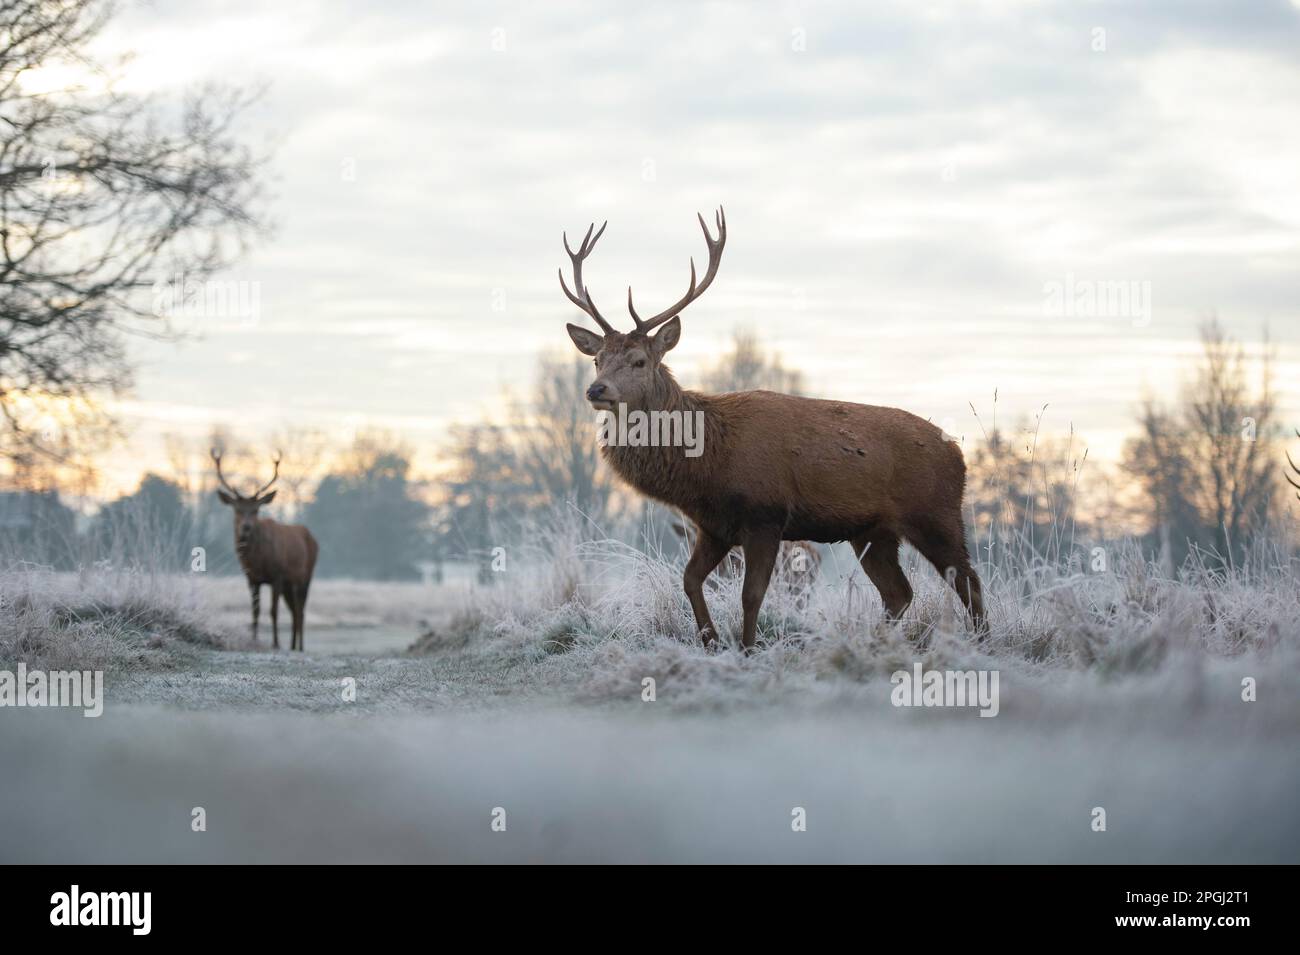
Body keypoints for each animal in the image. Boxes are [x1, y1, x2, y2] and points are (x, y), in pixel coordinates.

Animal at [212, 449, 319, 651]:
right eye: (237, 509)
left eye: (256, 510)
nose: (246, 527)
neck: (257, 560)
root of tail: (312, 536)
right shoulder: (252, 578)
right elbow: (255, 611)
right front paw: (254, 639)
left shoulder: (277, 575)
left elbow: (273, 611)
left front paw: (275, 643)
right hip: (289, 585)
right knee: (294, 611)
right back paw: (292, 646)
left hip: (305, 576)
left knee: (300, 610)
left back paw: (300, 647)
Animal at [559, 208, 986, 652]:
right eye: (597, 359)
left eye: (640, 361)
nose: (596, 389)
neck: (708, 461)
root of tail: (958, 453)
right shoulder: (714, 526)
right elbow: (690, 581)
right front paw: (711, 642)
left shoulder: (765, 515)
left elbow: (752, 595)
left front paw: (747, 649)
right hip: (873, 532)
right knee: (899, 593)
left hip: (936, 514)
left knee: (969, 583)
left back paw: (983, 644)